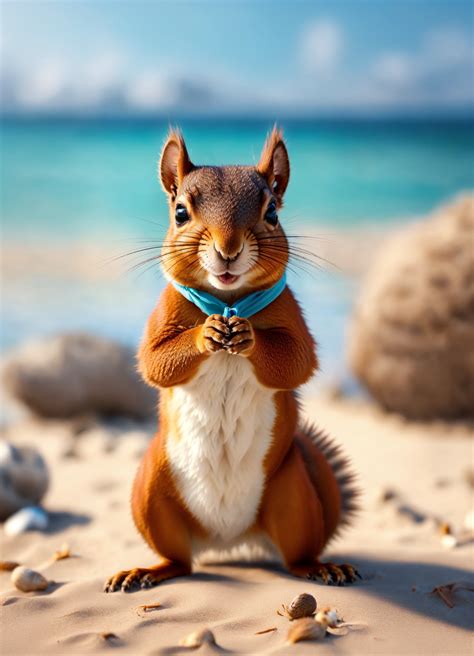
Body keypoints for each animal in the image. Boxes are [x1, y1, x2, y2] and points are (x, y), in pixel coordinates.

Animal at [104, 127, 358, 593]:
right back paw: (146, 572)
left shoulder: (292, 315)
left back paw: (321, 567)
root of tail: (228, 539)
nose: (229, 249)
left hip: (293, 495)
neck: (227, 300)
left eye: (272, 211)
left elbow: (297, 360)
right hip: (151, 495)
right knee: (179, 561)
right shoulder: (163, 313)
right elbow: (155, 361)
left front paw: (248, 336)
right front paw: (206, 334)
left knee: (297, 555)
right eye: (180, 212)